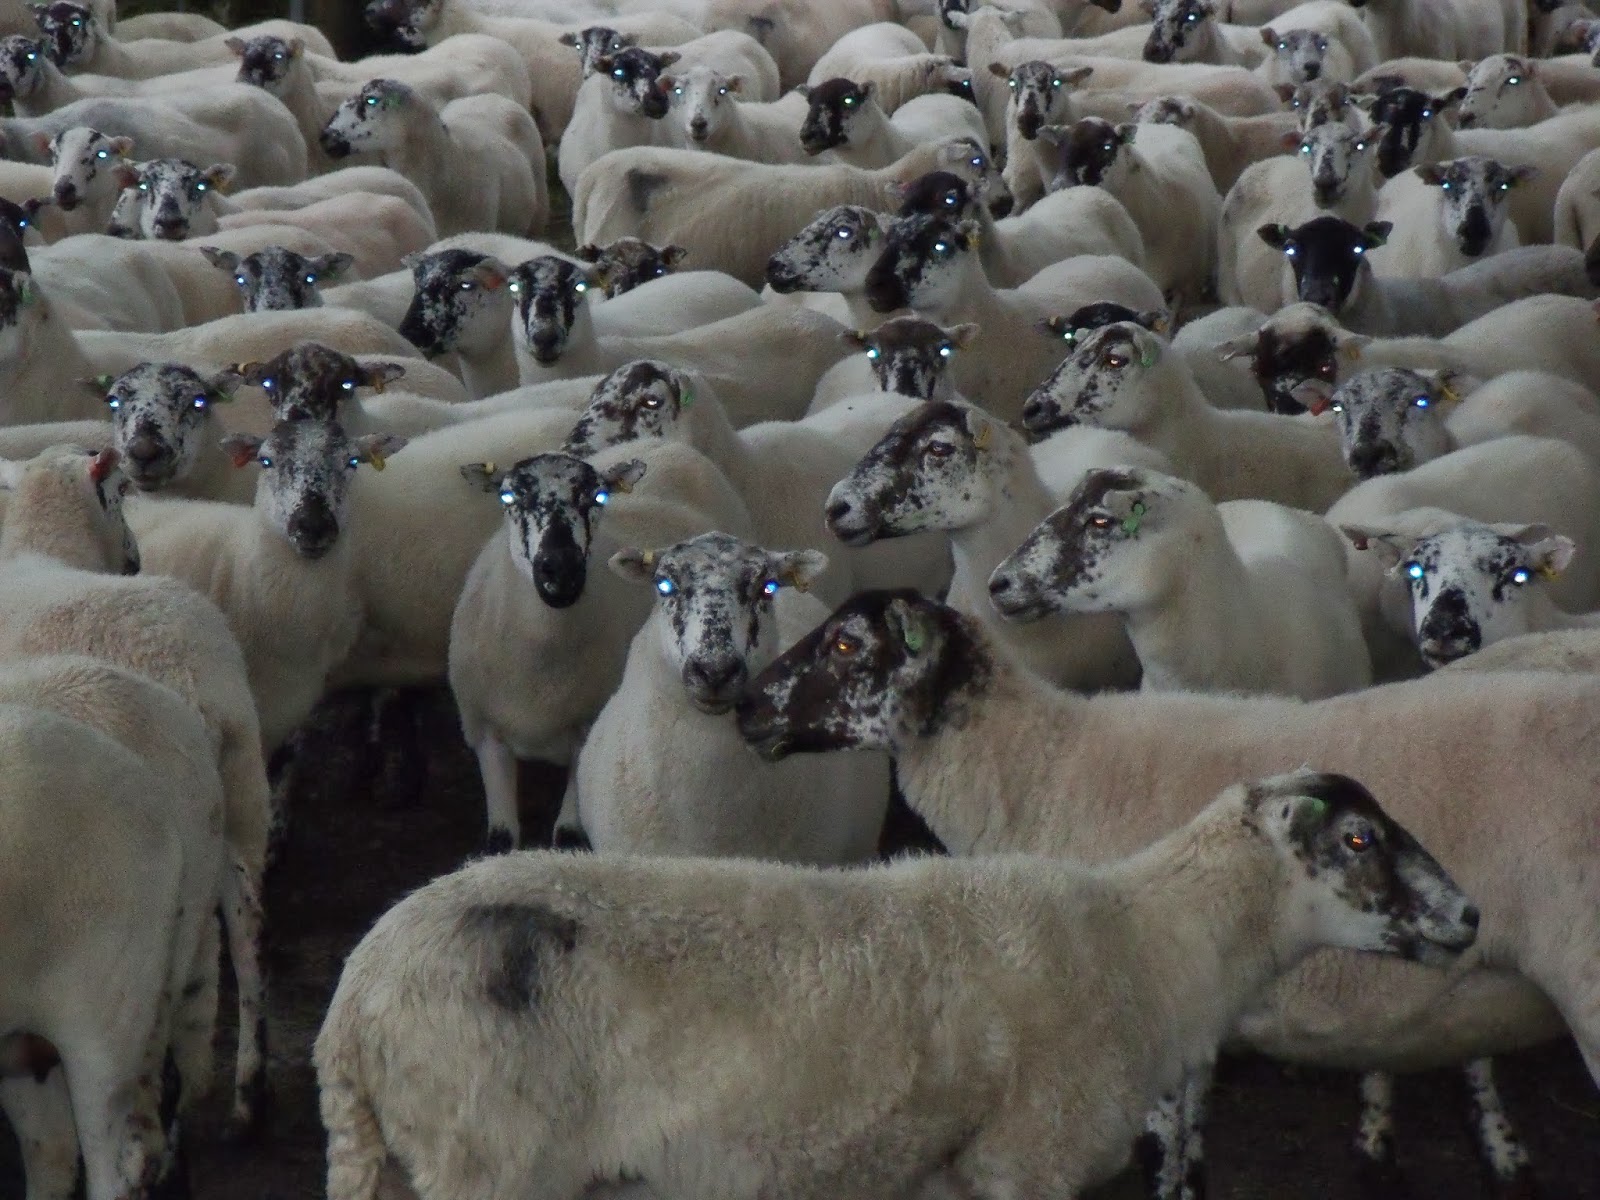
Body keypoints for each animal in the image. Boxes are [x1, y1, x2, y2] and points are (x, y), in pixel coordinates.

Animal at [0, 443, 272, 1133]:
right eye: (121, 497)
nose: (136, 556)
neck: (39, 548)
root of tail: (198, 682)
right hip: (242, 800)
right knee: (249, 937)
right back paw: (250, 1092)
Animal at [315, 759, 1478, 1200]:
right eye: (1362, 839)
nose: (1470, 920)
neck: (1146, 947)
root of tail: (355, 998)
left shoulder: (946, 1172)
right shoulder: (1026, 1159)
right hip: (487, 1159)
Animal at [449, 441, 753, 851]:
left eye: (598, 496)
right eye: (509, 496)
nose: (561, 570)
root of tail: (670, 445)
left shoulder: (587, 732)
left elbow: (567, 837)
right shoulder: (486, 735)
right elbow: (500, 841)